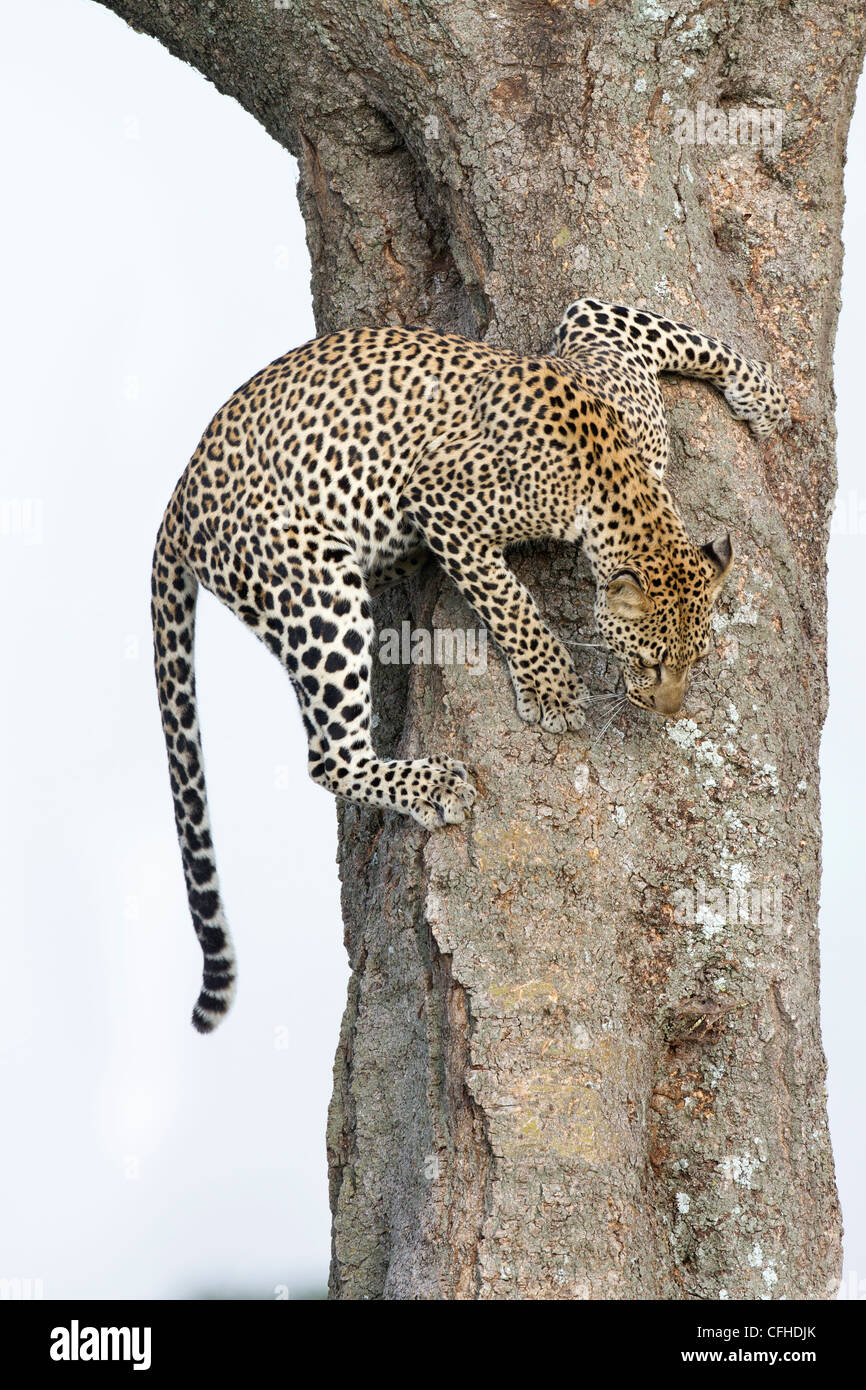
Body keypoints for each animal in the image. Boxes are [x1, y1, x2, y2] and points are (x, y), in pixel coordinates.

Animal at [150, 296, 790, 1031]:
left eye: (698, 658)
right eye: (651, 664)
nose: (668, 710)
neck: (623, 489)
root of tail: (177, 498)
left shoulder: (597, 328)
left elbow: (680, 336)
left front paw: (766, 396)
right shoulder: (444, 502)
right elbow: (509, 600)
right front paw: (555, 689)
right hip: (315, 588)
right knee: (328, 756)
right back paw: (433, 784)